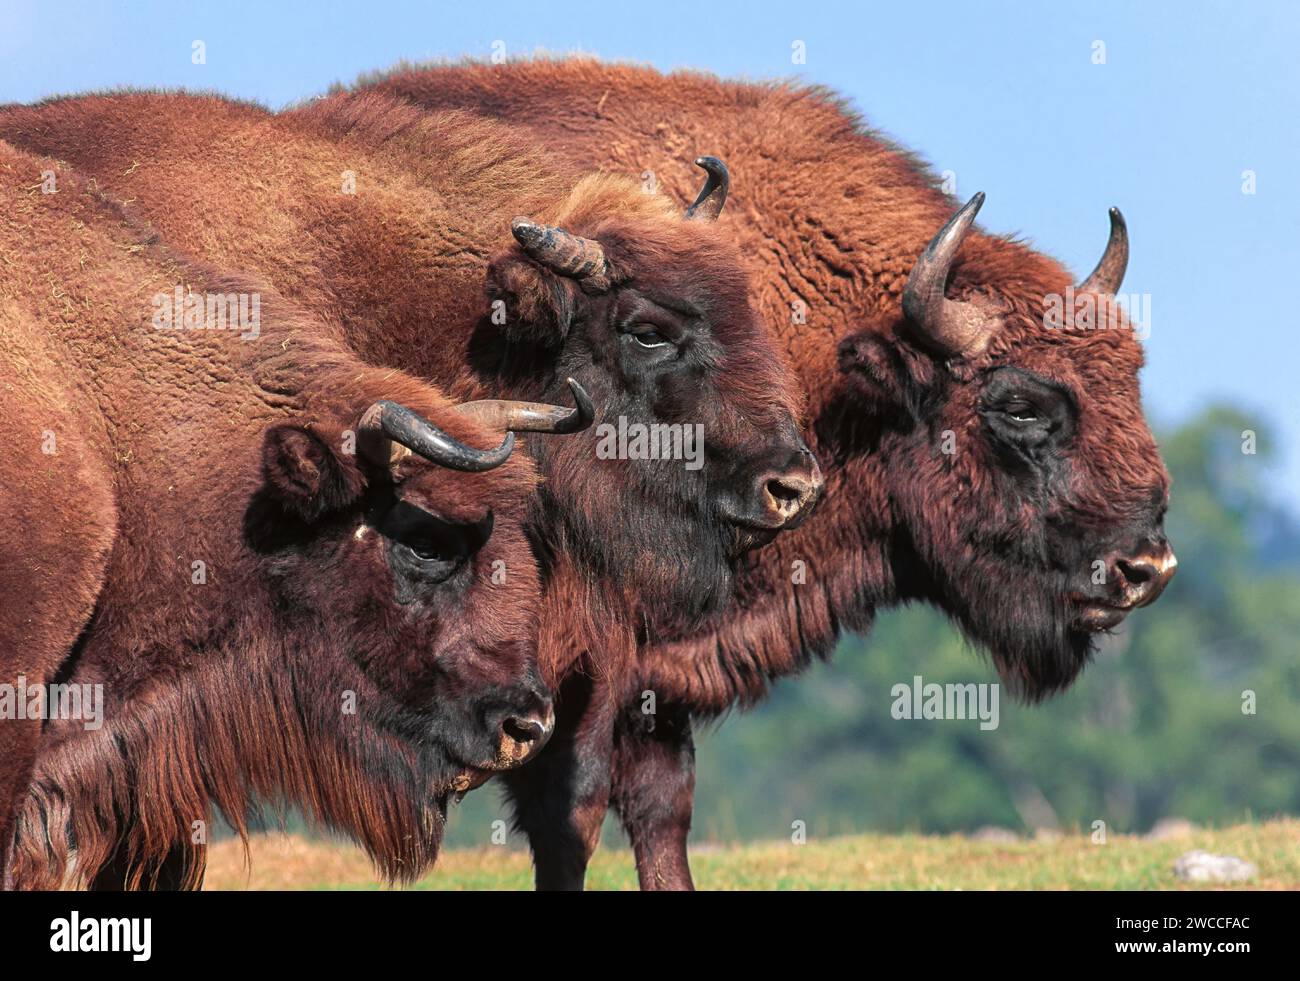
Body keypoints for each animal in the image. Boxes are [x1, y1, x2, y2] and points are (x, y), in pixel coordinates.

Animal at [358, 58, 1180, 889]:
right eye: (1017, 405)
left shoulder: (650, 681)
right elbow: (573, 812)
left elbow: (661, 806)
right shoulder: (580, 658)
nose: (1147, 567)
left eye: (1131, 375)